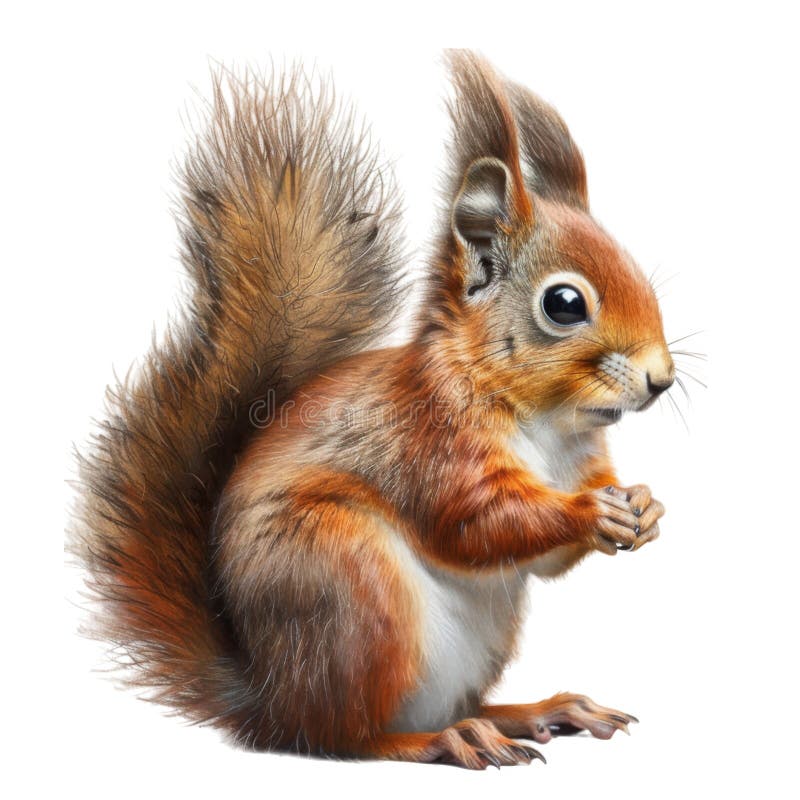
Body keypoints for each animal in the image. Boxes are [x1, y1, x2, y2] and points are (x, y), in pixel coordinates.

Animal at [70, 51, 674, 769]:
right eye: (564, 304)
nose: (662, 380)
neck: (547, 424)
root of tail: (267, 700)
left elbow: (543, 556)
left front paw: (642, 506)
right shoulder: (428, 441)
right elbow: (477, 525)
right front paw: (589, 512)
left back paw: (537, 712)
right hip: (350, 587)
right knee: (346, 738)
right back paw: (446, 738)